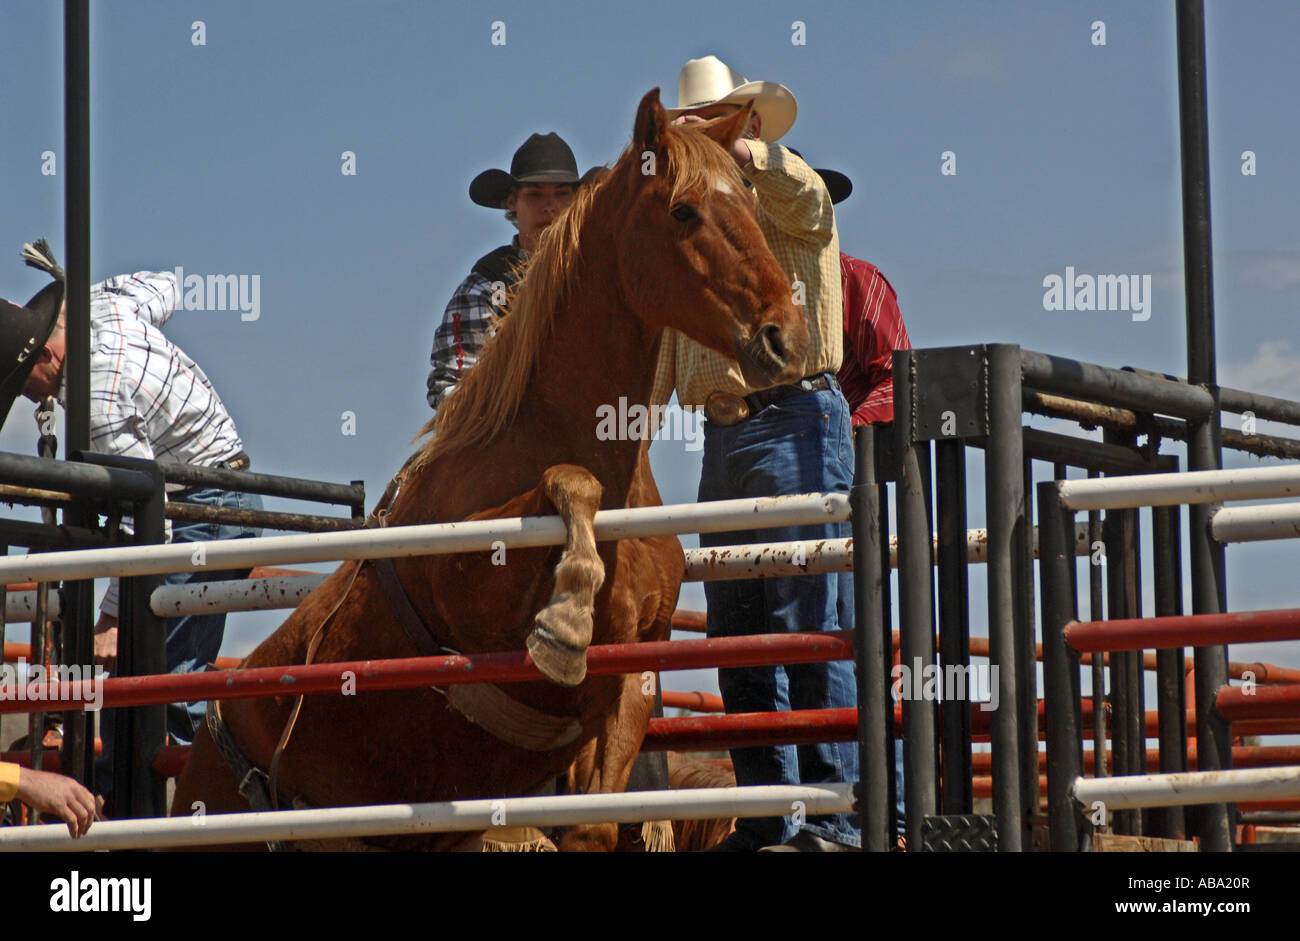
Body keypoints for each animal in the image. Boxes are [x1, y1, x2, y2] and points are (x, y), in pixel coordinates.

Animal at [171, 88, 809, 851]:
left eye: (749, 194)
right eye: (683, 210)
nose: (786, 336)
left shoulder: (631, 686)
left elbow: (595, 828)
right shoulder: (471, 576)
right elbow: (569, 484)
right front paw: (563, 620)